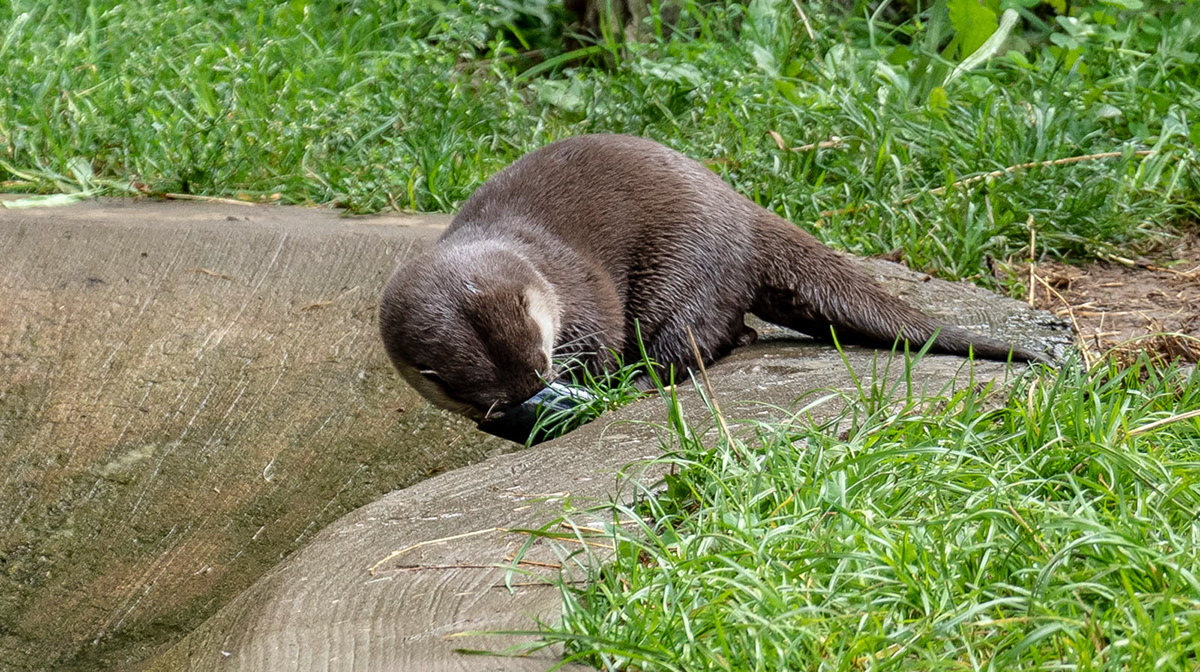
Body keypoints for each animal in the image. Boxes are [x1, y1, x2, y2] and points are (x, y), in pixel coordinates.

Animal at [379, 134, 1048, 427]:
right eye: (489, 392)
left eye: (541, 356)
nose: (538, 390)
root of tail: (741, 210)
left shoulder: (581, 287)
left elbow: (603, 333)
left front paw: (597, 384)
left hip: (684, 263)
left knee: (693, 337)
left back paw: (647, 378)